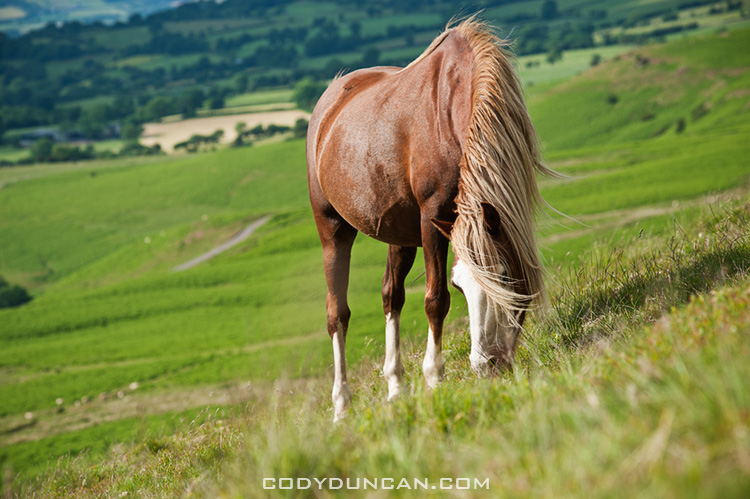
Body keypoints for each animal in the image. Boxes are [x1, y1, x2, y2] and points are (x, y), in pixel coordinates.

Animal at [307, 18, 555, 421]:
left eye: (504, 276)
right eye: (461, 287)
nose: (486, 365)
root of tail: (329, 102)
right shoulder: (433, 218)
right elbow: (435, 300)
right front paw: (435, 379)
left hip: (399, 234)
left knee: (391, 296)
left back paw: (396, 387)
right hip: (332, 229)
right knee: (337, 313)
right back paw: (341, 405)